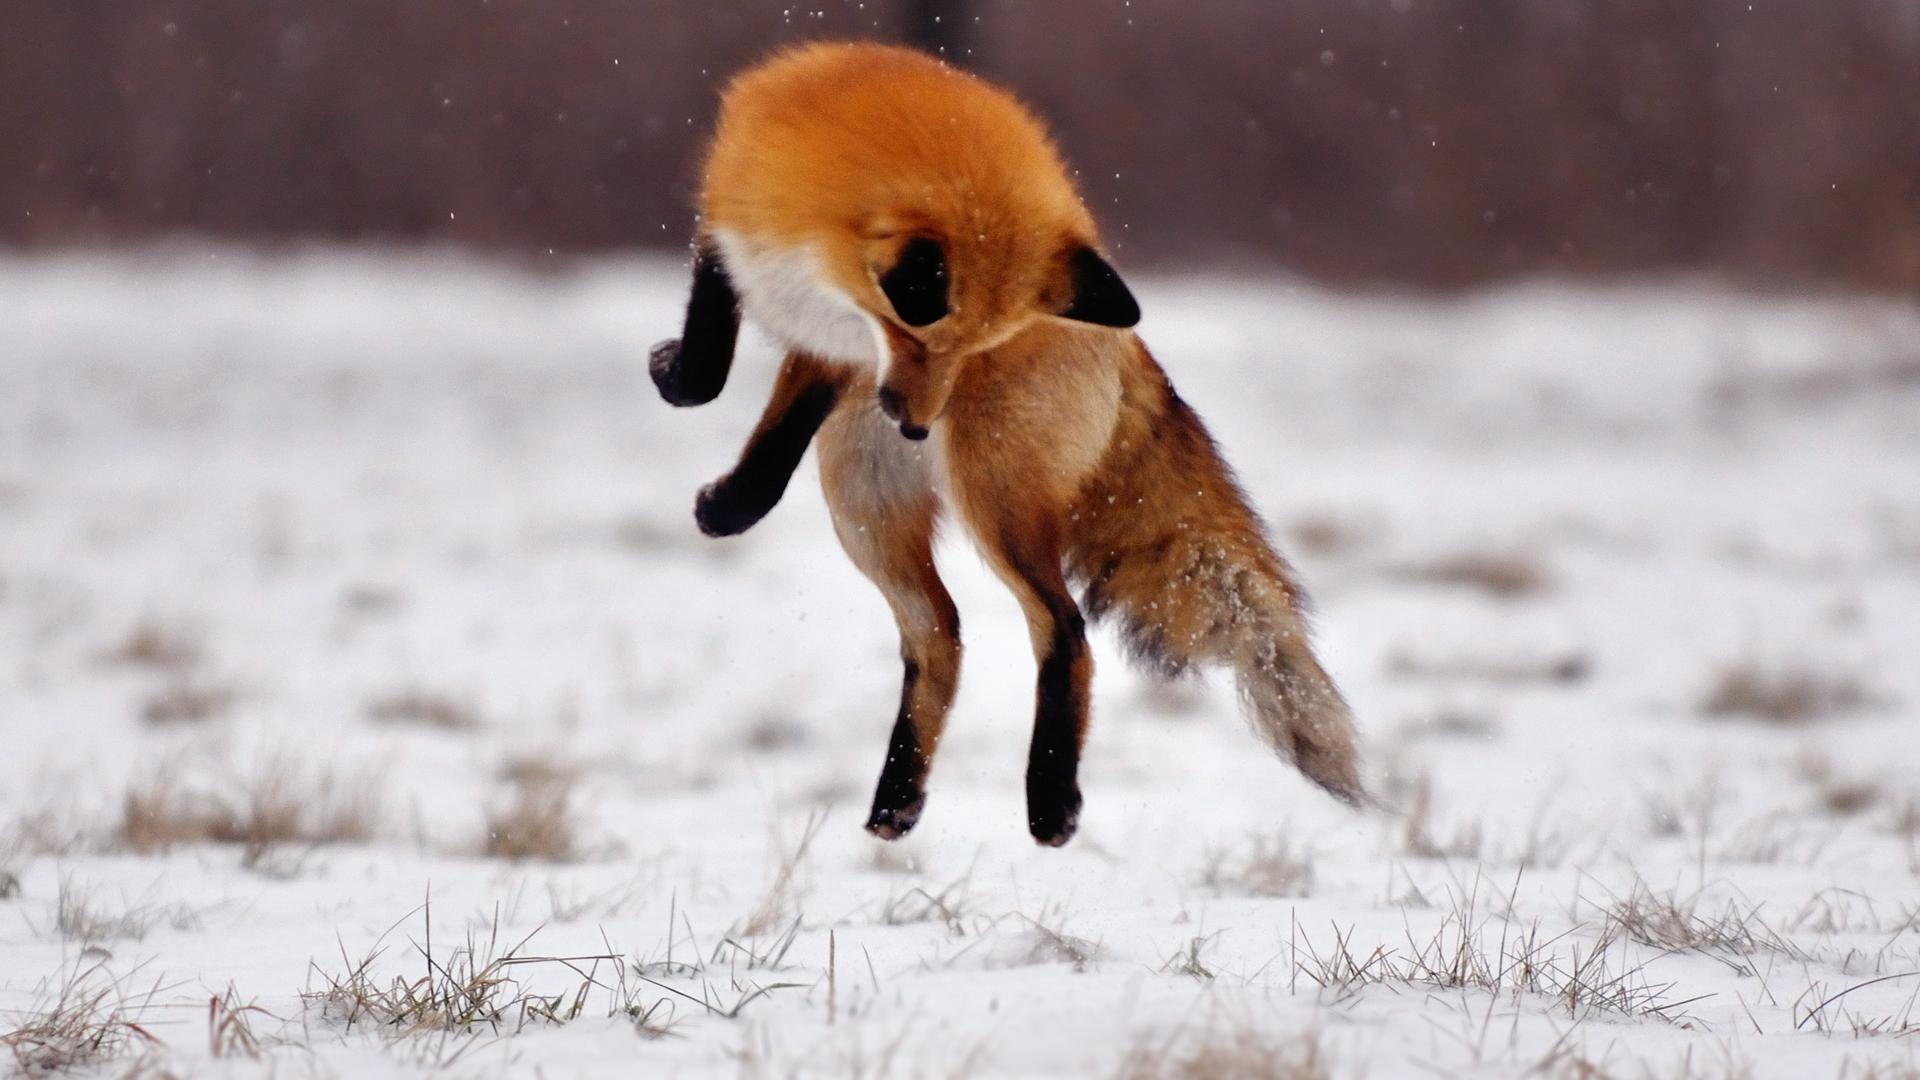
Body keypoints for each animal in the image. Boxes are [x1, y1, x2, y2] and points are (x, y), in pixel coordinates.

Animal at [649, 42, 1364, 846]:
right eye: (920, 338)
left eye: (969, 349)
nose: (912, 424)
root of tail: (1131, 343)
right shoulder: (772, 275)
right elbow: (748, 420)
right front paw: (725, 494)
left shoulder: (819, 324)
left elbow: (718, 384)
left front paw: (685, 410)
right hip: (863, 506)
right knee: (941, 635)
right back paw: (898, 802)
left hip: (990, 499)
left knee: (1065, 628)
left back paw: (1049, 800)